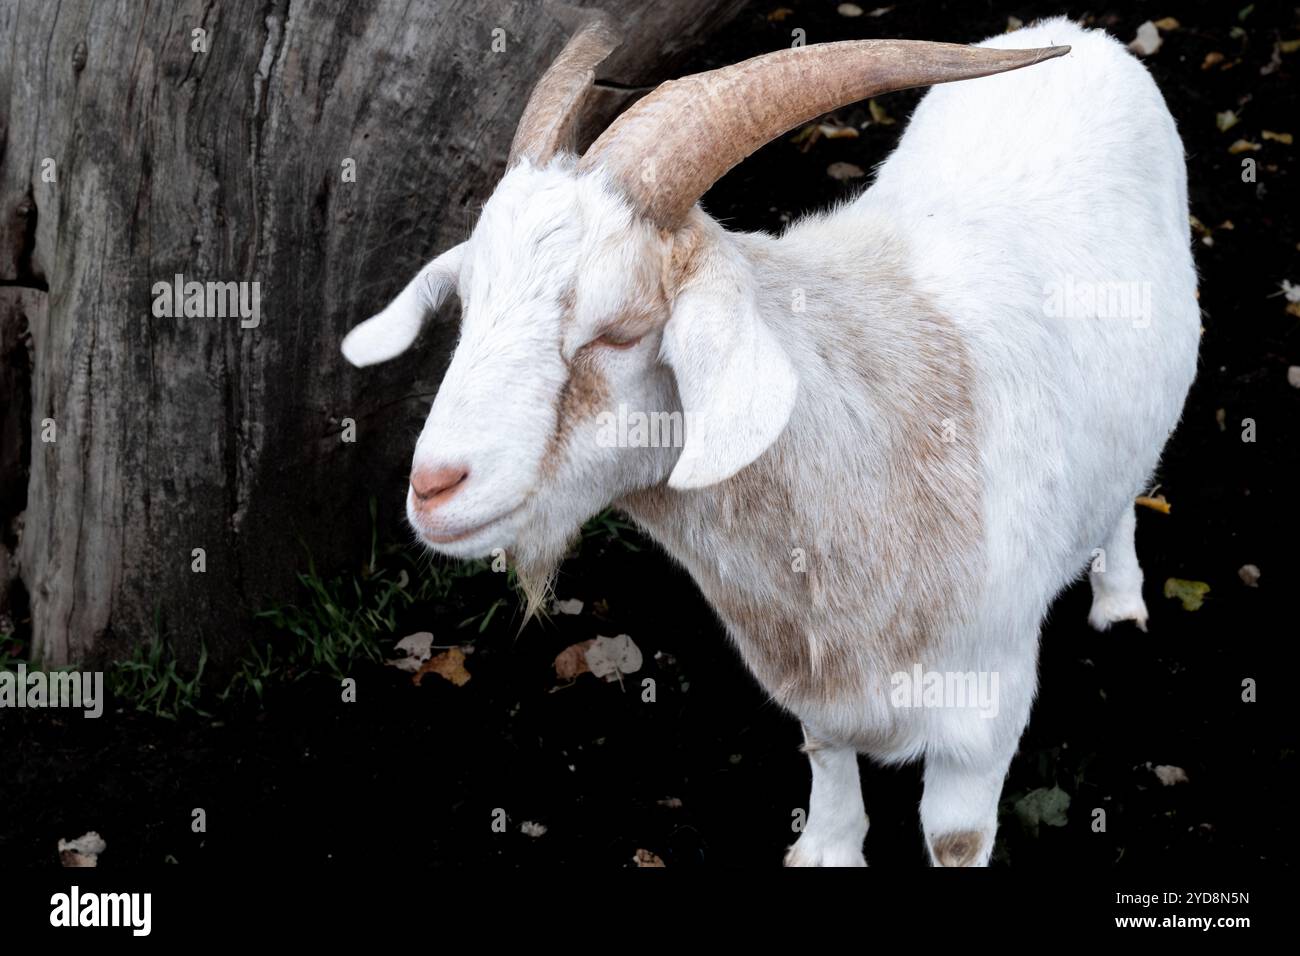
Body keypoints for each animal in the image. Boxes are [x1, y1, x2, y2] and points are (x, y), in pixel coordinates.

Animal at [341, 14, 1200, 866]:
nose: (434, 485)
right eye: (468, 301)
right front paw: (826, 847)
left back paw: (1120, 603)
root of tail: (1077, 34)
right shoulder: (807, 673)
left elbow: (953, 836)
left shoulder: (982, 719)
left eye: (619, 330)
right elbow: (826, 753)